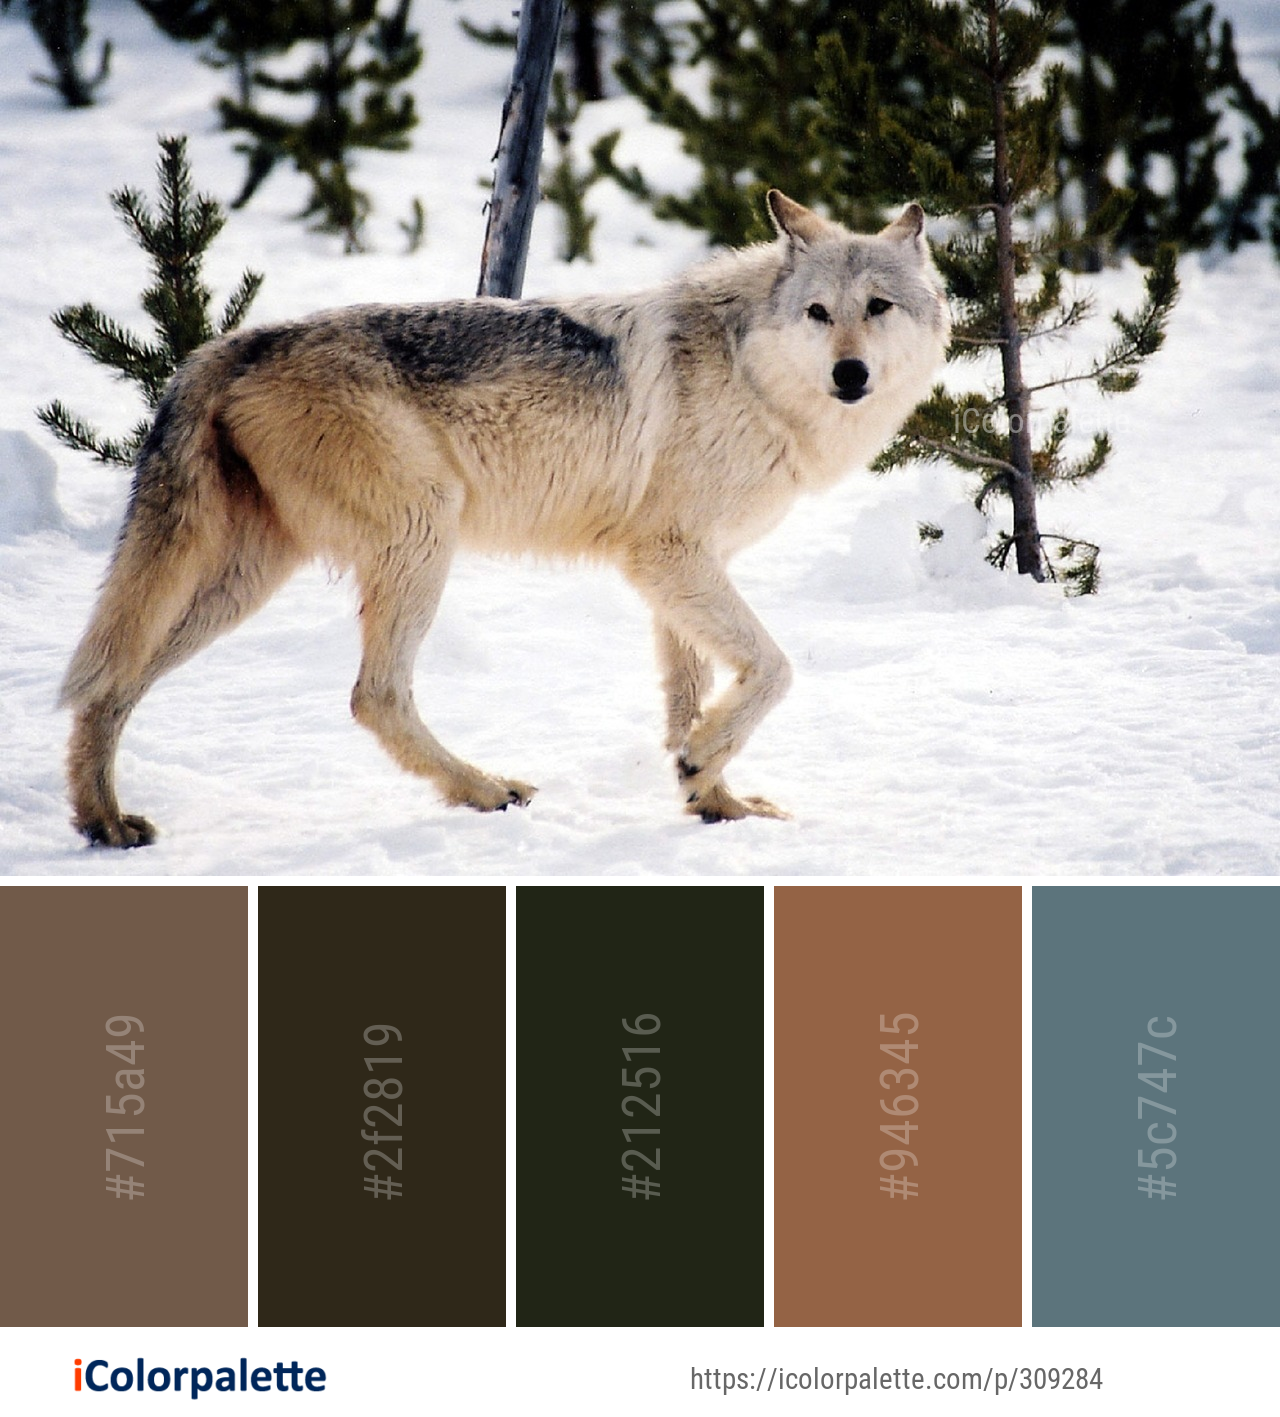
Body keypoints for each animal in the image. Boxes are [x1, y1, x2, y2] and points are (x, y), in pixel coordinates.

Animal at [60, 190, 949, 846]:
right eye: (818, 312)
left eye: (878, 306)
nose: (850, 373)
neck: (749, 372)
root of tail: (229, 345)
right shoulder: (666, 555)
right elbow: (773, 669)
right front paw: (703, 768)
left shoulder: (683, 568)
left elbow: (689, 699)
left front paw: (713, 799)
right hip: (421, 535)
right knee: (373, 696)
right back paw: (483, 789)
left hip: (244, 579)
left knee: (110, 685)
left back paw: (102, 820)